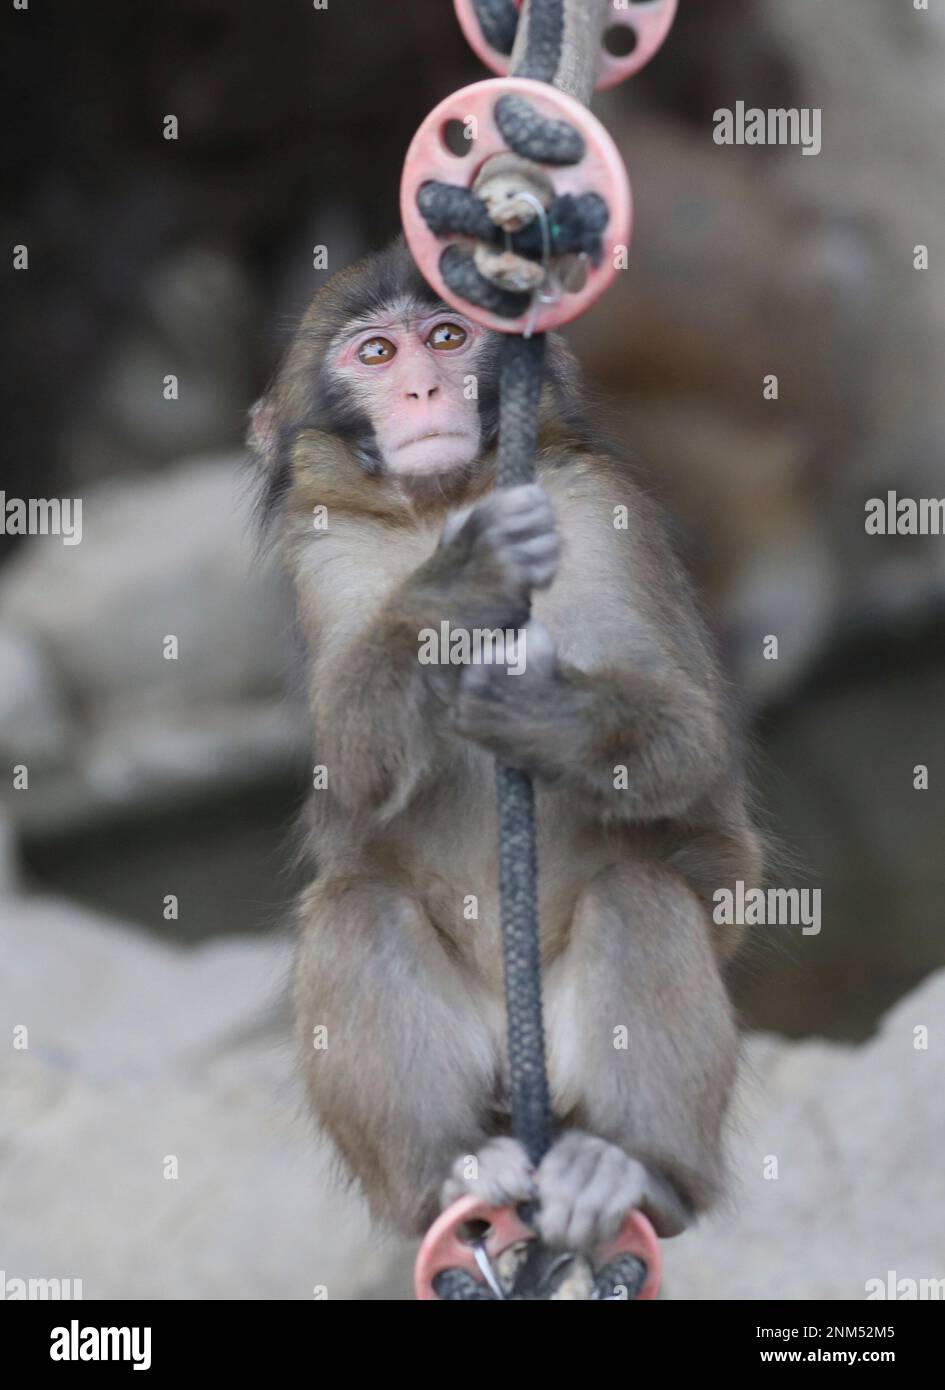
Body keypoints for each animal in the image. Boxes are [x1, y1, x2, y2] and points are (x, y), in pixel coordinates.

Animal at [250, 236, 763, 1253]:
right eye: (376, 355)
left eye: (448, 337)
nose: (421, 392)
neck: (446, 498)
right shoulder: (326, 551)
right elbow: (356, 771)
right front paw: (454, 587)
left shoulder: (595, 509)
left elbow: (692, 741)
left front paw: (548, 714)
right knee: (357, 909)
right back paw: (447, 1176)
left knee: (639, 894)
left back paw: (634, 1171)